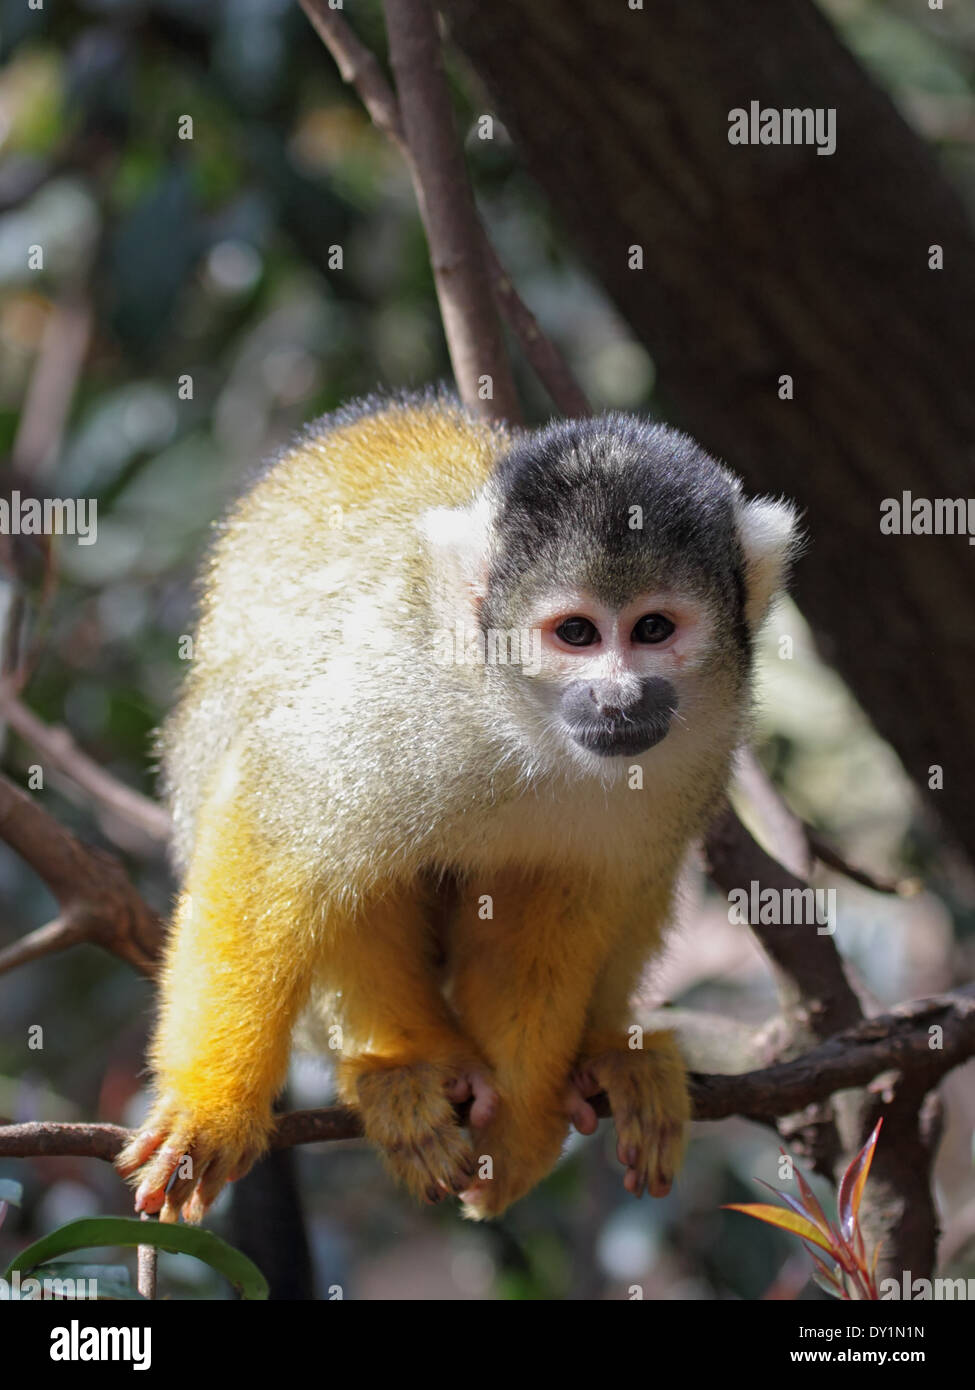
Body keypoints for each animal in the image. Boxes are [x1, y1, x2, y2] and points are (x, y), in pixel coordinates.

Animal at [116, 388, 797, 1224]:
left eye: (652, 629)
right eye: (575, 633)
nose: (617, 698)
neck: (526, 724)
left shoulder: (695, 751)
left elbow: (556, 903)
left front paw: (519, 1128)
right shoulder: (405, 688)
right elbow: (276, 814)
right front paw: (212, 1112)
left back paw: (611, 1054)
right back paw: (403, 1065)